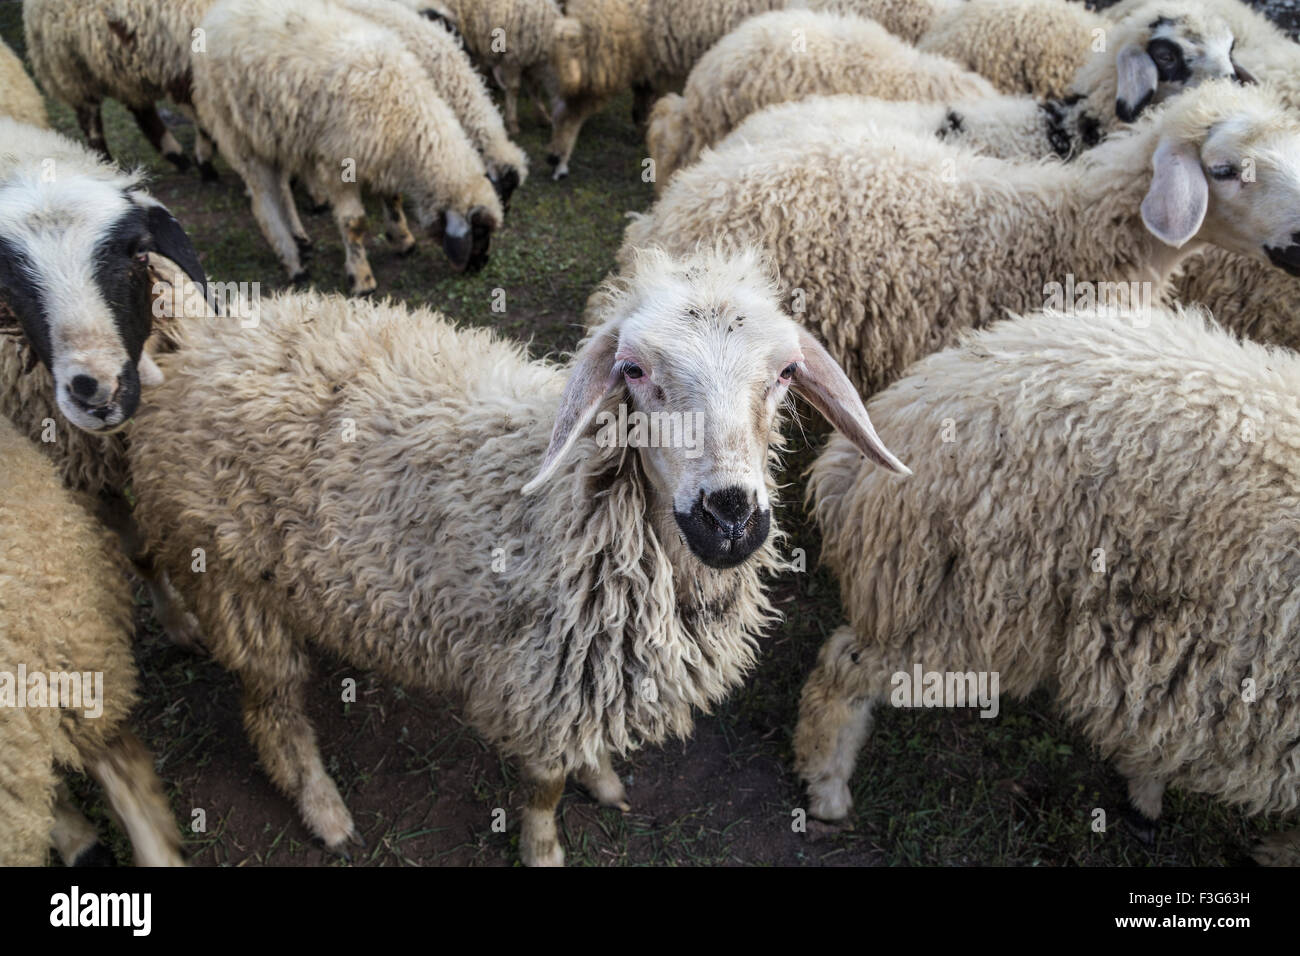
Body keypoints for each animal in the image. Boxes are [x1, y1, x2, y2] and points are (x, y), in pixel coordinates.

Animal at [22, 0, 219, 178]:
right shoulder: (182, 74)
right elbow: (205, 122)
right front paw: (205, 164)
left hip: (126, 68)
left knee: (142, 111)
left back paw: (176, 156)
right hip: (74, 70)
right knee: (91, 122)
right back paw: (105, 166)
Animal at [124, 248, 909, 866]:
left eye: (785, 373)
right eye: (633, 370)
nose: (730, 519)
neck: (571, 504)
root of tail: (200, 335)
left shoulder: (589, 675)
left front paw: (603, 777)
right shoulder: (543, 679)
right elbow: (543, 786)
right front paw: (543, 848)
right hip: (229, 579)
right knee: (273, 710)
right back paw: (325, 812)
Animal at [192, 0, 504, 293]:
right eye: (479, 232)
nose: (480, 266)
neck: (405, 111)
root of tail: (217, 13)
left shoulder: (381, 154)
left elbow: (393, 199)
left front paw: (402, 240)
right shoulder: (336, 162)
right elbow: (354, 224)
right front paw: (362, 278)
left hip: (273, 134)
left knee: (281, 190)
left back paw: (300, 240)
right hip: (239, 132)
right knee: (264, 202)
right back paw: (294, 263)